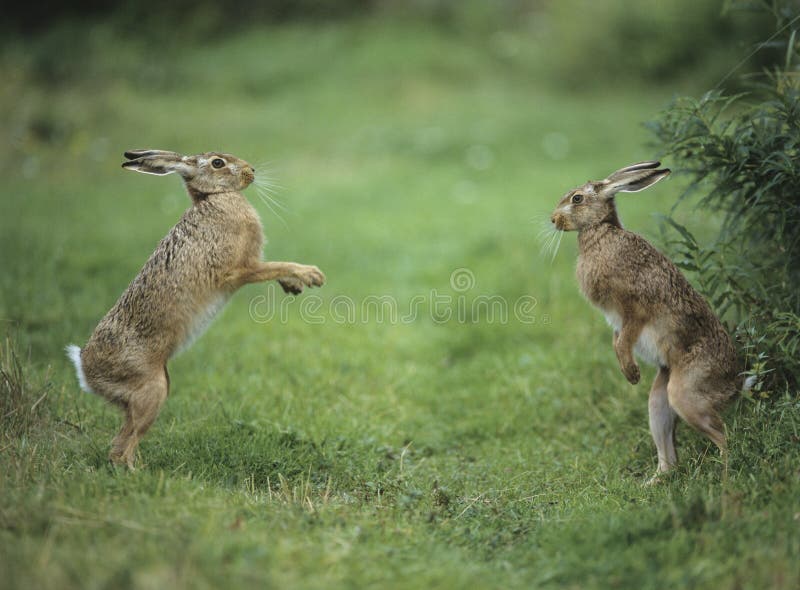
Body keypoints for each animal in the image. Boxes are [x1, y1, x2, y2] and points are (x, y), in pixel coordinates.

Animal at [67, 149, 325, 468]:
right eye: (218, 163)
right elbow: (274, 266)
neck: (213, 198)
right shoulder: (239, 270)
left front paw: (294, 285)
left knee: (120, 442)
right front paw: (311, 274)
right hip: (152, 390)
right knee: (123, 447)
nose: (251, 171)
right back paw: (137, 472)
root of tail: (84, 368)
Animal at [550, 161, 754, 482]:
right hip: (660, 398)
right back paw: (654, 482)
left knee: (723, 438)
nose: (553, 219)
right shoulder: (617, 321)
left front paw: (632, 373)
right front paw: (628, 372)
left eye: (577, 199)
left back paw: (724, 477)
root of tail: (733, 385)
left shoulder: (635, 308)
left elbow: (626, 338)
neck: (601, 232)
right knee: (669, 450)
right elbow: (616, 340)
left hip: (687, 393)